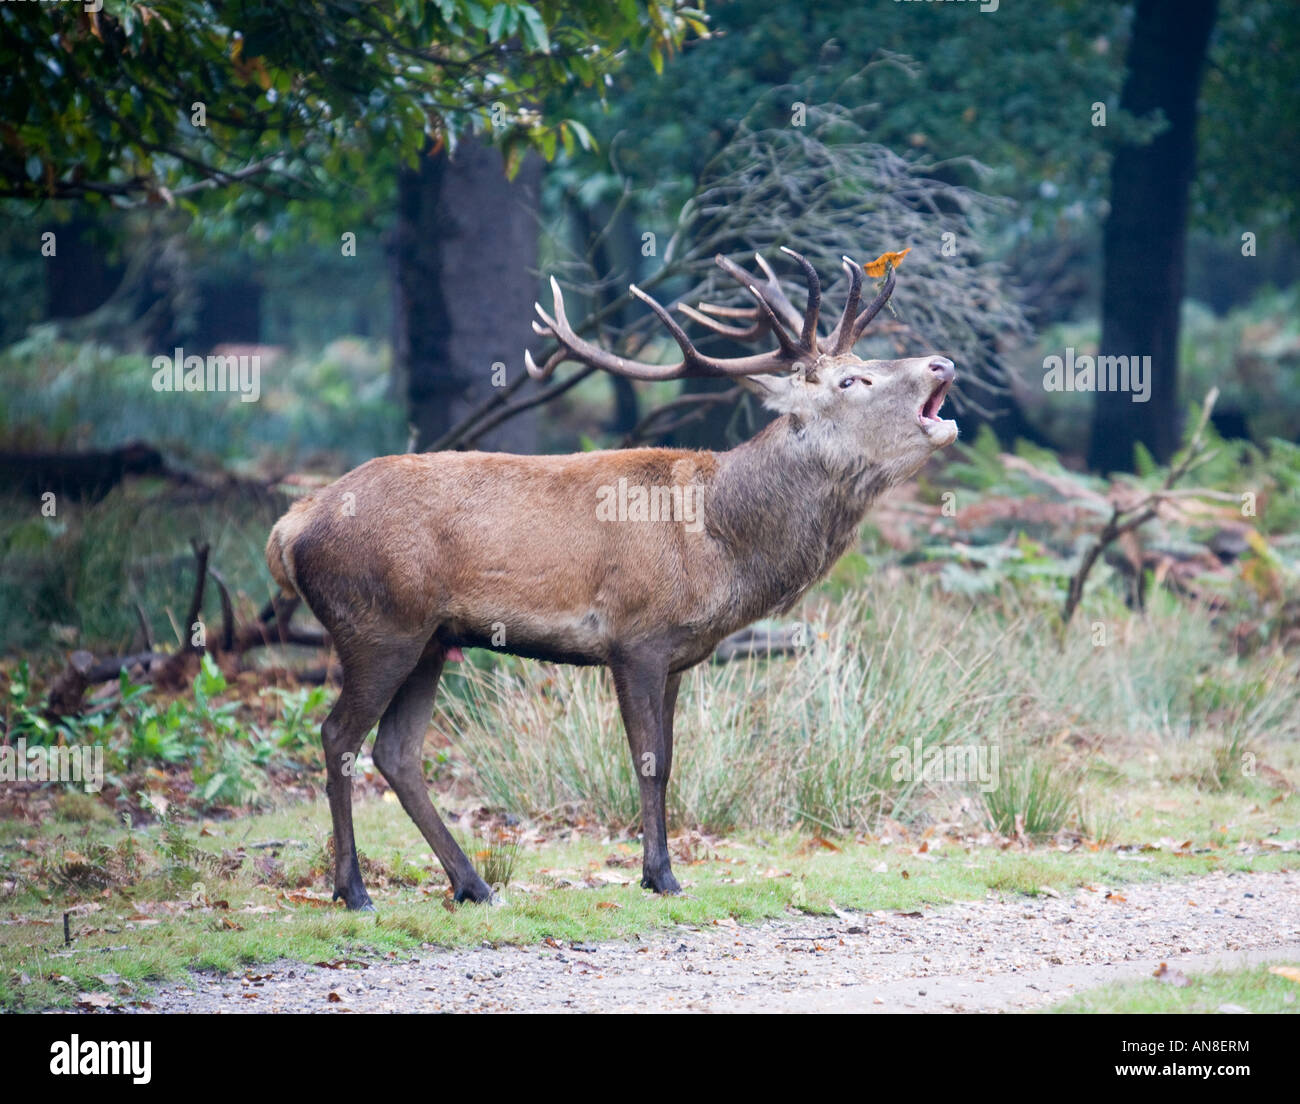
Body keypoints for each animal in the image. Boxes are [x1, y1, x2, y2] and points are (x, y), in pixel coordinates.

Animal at [265, 247, 957, 909]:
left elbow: (670, 759)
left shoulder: (679, 656)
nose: (942, 363)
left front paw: (658, 871)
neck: (719, 547)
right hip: (379, 625)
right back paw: (353, 892)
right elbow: (649, 761)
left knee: (397, 753)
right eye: (852, 378)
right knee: (338, 737)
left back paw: (474, 884)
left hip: (431, 639)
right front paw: (661, 876)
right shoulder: (635, 637)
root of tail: (290, 528)